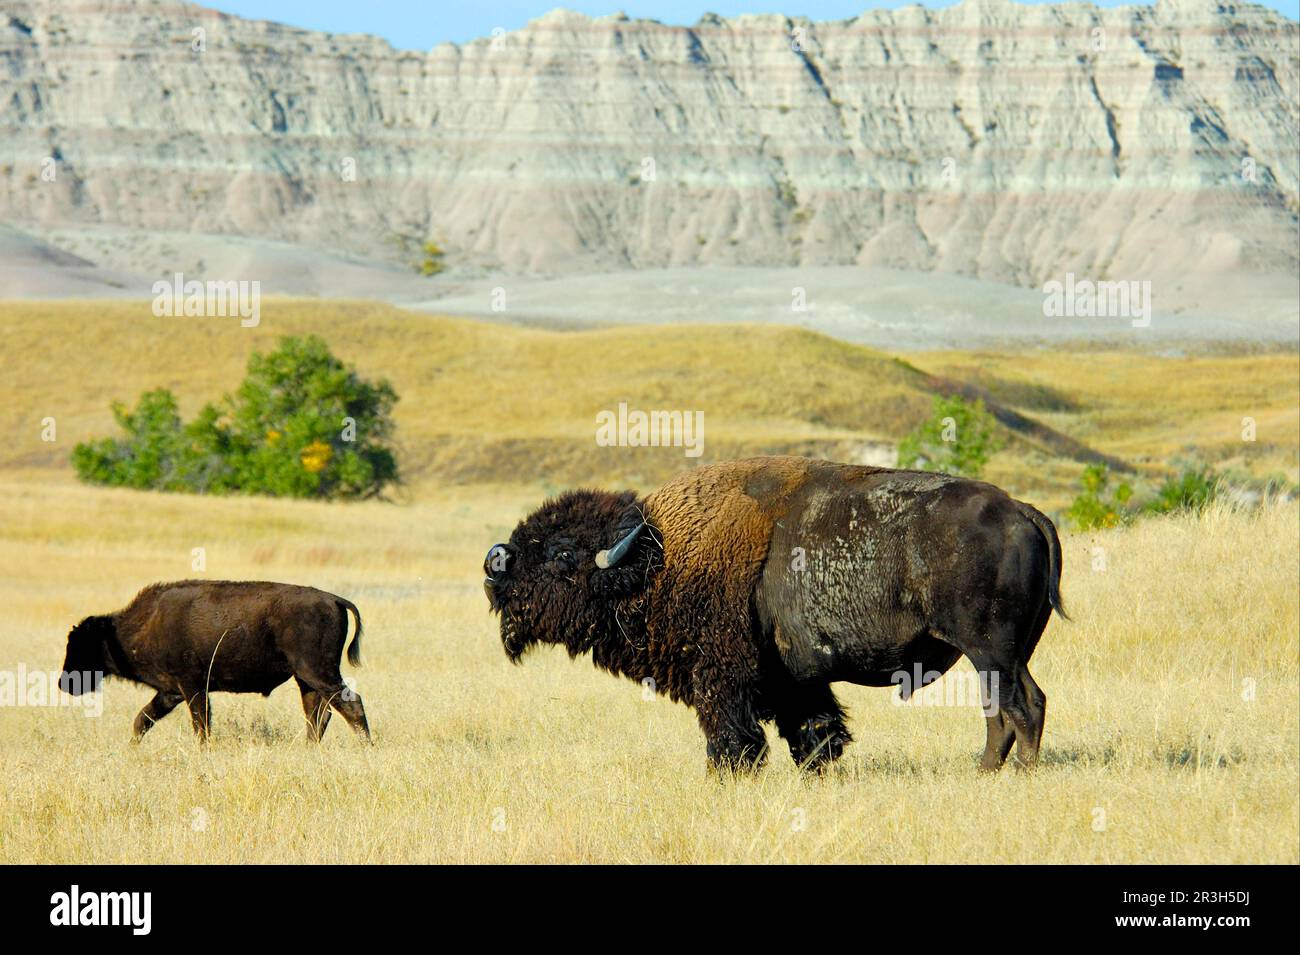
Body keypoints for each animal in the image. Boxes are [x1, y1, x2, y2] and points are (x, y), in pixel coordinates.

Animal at [59, 580, 370, 743]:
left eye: (81, 645)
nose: (64, 683)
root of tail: (333, 599)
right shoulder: (170, 692)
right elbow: (143, 719)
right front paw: (133, 745)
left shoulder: (192, 687)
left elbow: (201, 724)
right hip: (305, 678)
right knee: (318, 714)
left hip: (317, 672)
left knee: (350, 703)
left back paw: (365, 745)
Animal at [483, 456, 1066, 773]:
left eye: (562, 554)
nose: (496, 564)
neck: (656, 558)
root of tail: (1022, 511)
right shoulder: (794, 679)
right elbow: (816, 732)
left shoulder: (722, 675)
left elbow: (734, 738)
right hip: (997, 654)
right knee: (1004, 709)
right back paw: (985, 771)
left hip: (989, 649)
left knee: (1022, 706)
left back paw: (1015, 774)